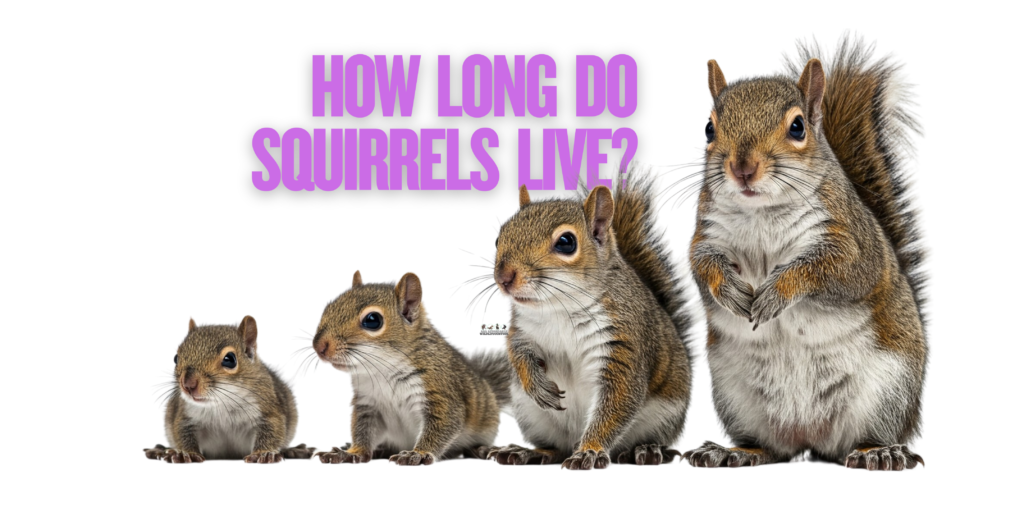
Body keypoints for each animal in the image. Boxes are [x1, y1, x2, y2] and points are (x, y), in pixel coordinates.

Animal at [144, 316, 315, 463]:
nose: (188, 385)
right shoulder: (186, 415)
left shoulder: (267, 410)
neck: (222, 403)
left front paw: (264, 454)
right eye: (176, 358)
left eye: (230, 359)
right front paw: (187, 453)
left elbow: (272, 429)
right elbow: (182, 432)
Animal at [311, 271, 507, 465]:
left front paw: (419, 453)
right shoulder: (368, 404)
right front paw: (352, 452)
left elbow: (443, 424)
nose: (319, 346)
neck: (383, 371)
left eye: (372, 320)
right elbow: (363, 431)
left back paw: (481, 449)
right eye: (328, 308)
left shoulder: (440, 395)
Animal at [487, 165, 693, 470]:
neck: (560, 309)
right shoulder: (522, 331)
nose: (504, 277)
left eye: (566, 242)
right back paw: (529, 452)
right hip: (531, 415)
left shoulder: (622, 345)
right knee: (556, 448)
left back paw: (644, 450)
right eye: (499, 237)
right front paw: (537, 385)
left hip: (665, 414)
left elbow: (616, 404)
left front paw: (590, 451)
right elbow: (518, 354)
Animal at [683, 38, 927, 471]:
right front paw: (729, 291)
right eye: (709, 128)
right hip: (735, 397)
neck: (761, 212)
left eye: (797, 127)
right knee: (769, 448)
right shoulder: (706, 236)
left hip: (887, 391)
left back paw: (878, 452)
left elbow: (830, 271)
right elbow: (702, 267)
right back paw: (733, 452)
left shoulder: (853, 245)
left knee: (869, 436)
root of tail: (810, 436)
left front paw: (777, 293)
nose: (742, 168)